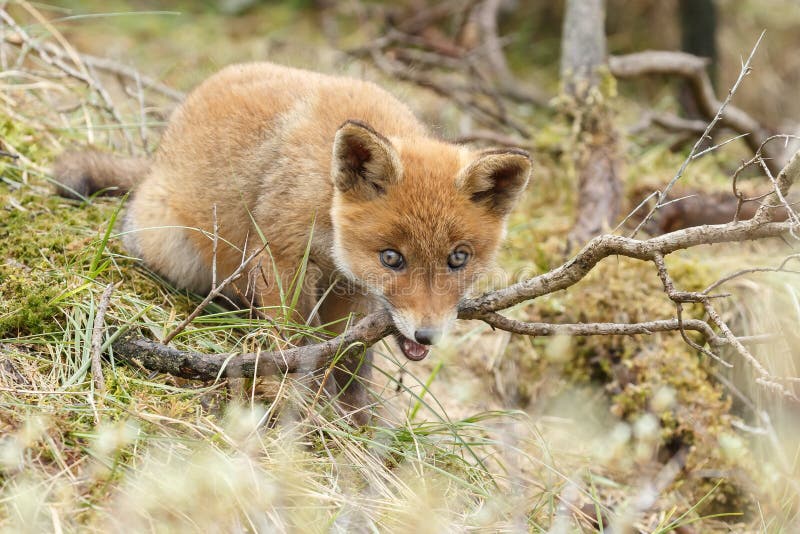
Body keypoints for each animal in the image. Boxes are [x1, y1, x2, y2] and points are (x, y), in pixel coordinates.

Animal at [53, 62, 532, 416]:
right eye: (392, 258)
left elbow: (349, 357)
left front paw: (356, 416)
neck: (325, 201)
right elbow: (295, 341)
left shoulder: (349, 284)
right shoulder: (280, 256)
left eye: (458, 259)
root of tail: (155, 163)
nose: (428, 335)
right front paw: (299, 399)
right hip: (178, 248)